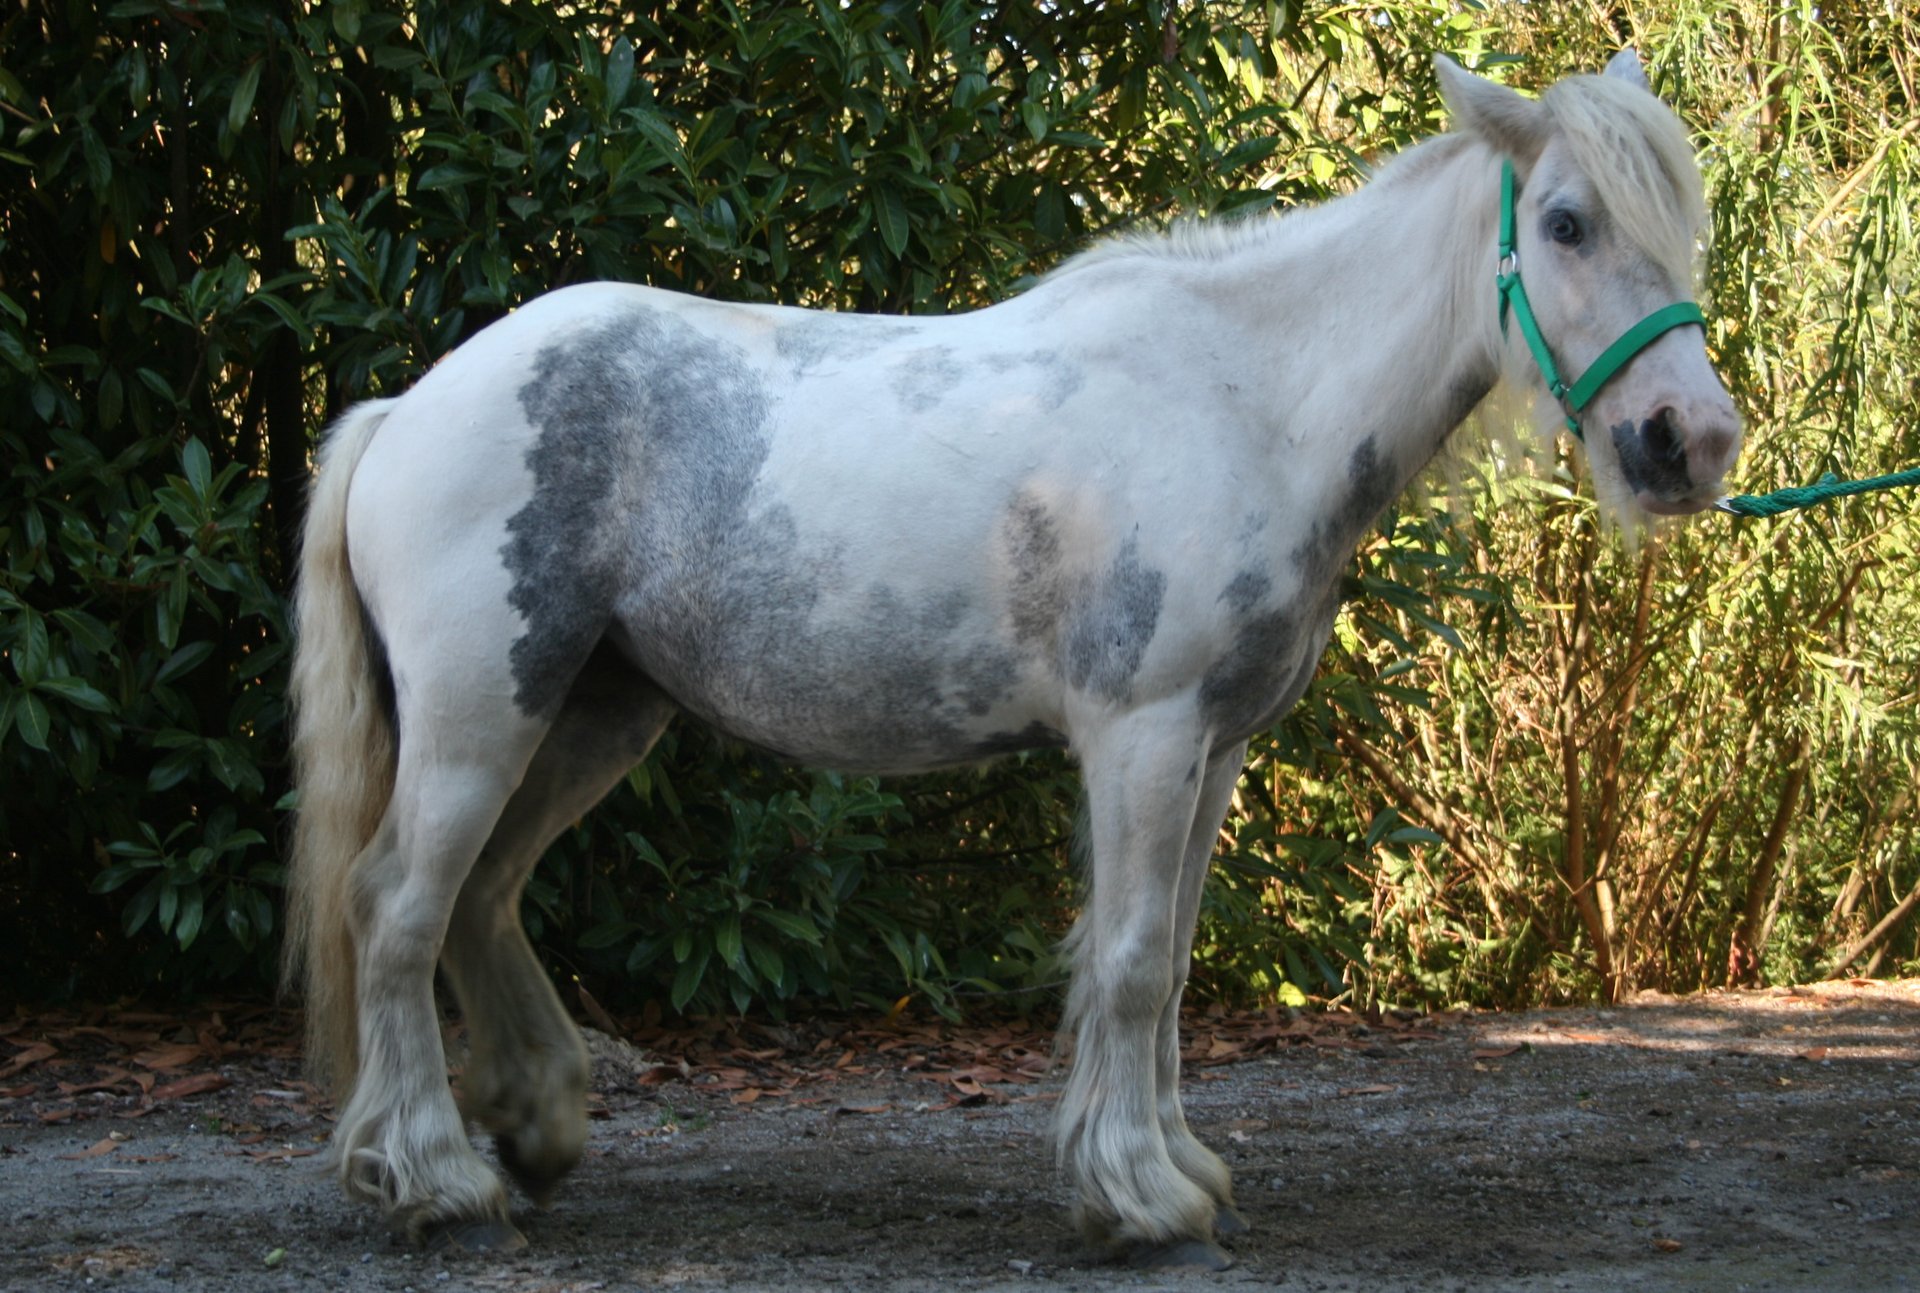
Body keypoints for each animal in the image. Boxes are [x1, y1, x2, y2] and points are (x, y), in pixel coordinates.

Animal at [285, 50, 1741, 1269]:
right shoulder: (1145, 736)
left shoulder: (1213, 750)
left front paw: (1179, 1170)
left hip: (591, 713)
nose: (1690, 441)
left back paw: (527, 1131)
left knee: (482, 899)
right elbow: (1135, 957)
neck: (1249, 400)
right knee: (398, 908)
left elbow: (1168, 966)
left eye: (1684, 225)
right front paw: (1140, 1201)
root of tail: (407, 407)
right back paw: (434, 1180)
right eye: (1567, 222)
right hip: (481, 719)